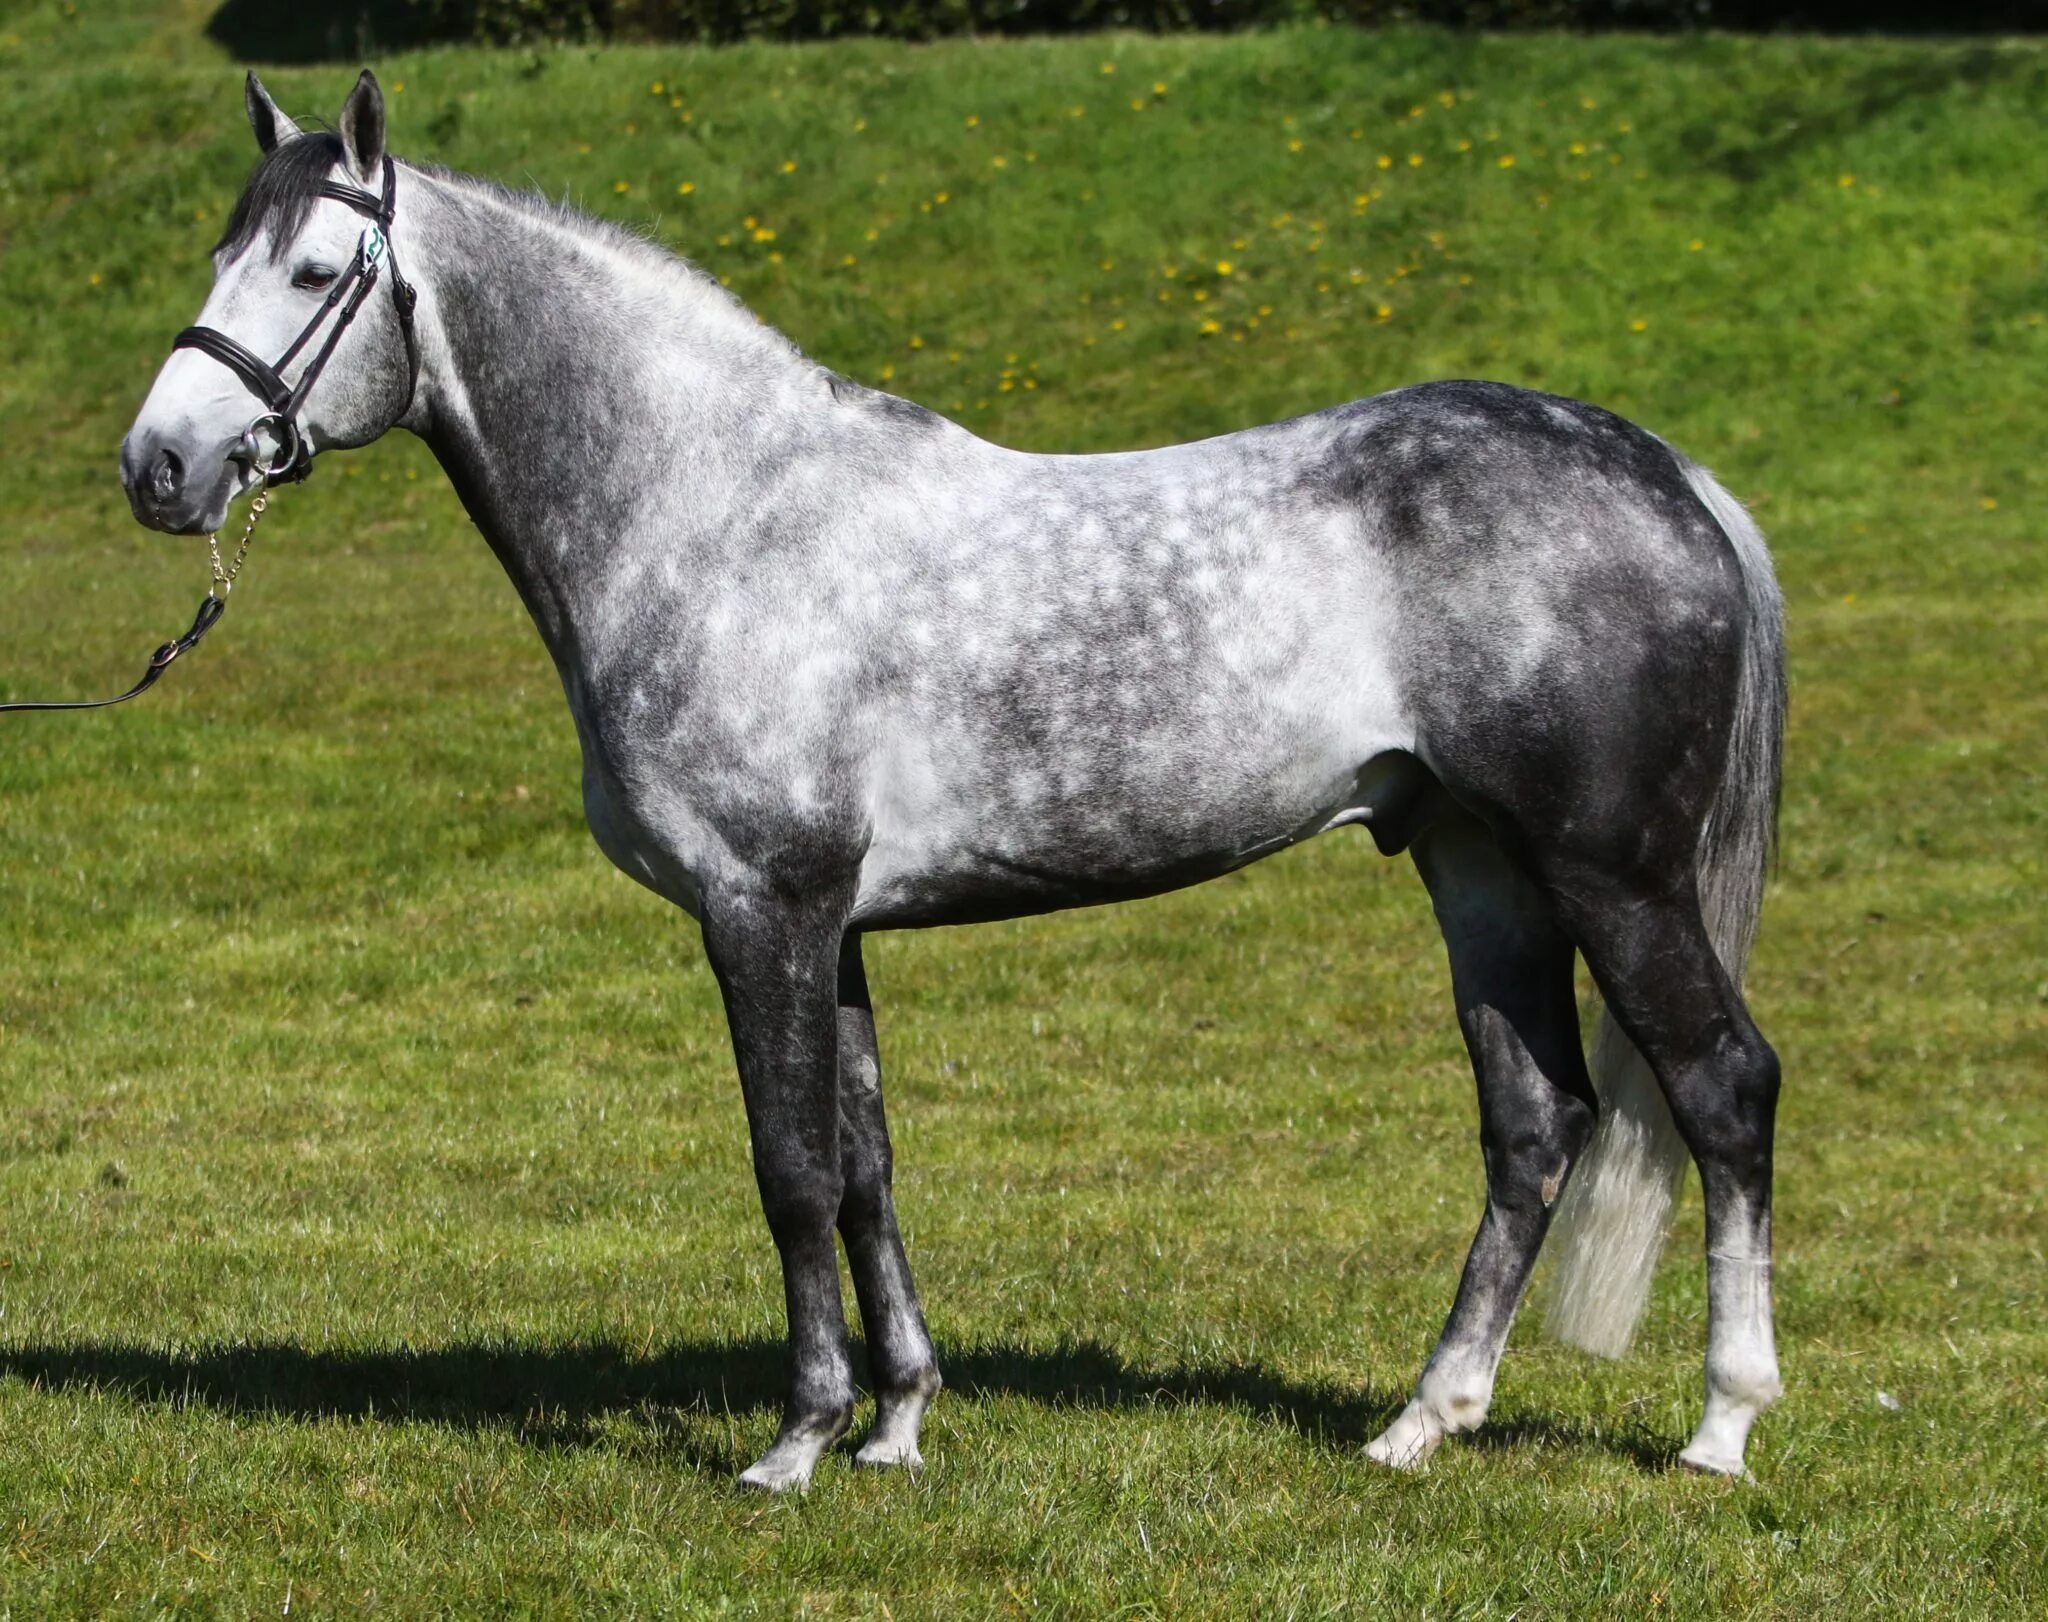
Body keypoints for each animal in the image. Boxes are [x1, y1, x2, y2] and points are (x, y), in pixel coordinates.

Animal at [118, 69, 1786, 1492]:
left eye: (315, 271)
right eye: (219, 252)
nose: (160, 467)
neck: (717, 515)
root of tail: (1671, 476)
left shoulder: (763, 910)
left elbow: (790, 1166)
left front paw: (795, 1439)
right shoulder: (834, 926)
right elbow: (867, 1164)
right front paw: (899, 1420)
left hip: (1612, 875)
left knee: (1724, 1087)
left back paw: (1720, 1426)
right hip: (1477, 866)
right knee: (1535, 1122)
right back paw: (1421, 1421)